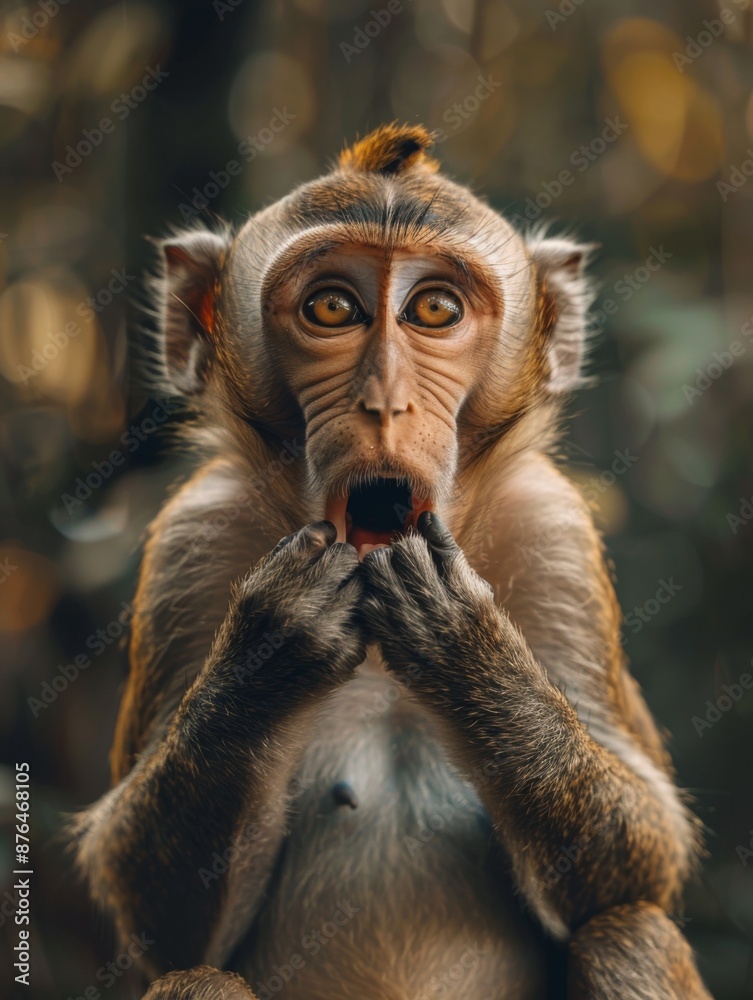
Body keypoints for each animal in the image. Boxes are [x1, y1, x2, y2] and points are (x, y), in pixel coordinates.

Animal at [72, 124, 712, 999]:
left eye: (434, 309)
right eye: (331, 308)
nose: (383, 402)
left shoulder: (555, 535)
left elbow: (644, 852)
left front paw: (467, 652)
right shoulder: (189, 544)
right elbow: (164, 922)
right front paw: (271, 650)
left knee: (625, 930)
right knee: (196, 980)